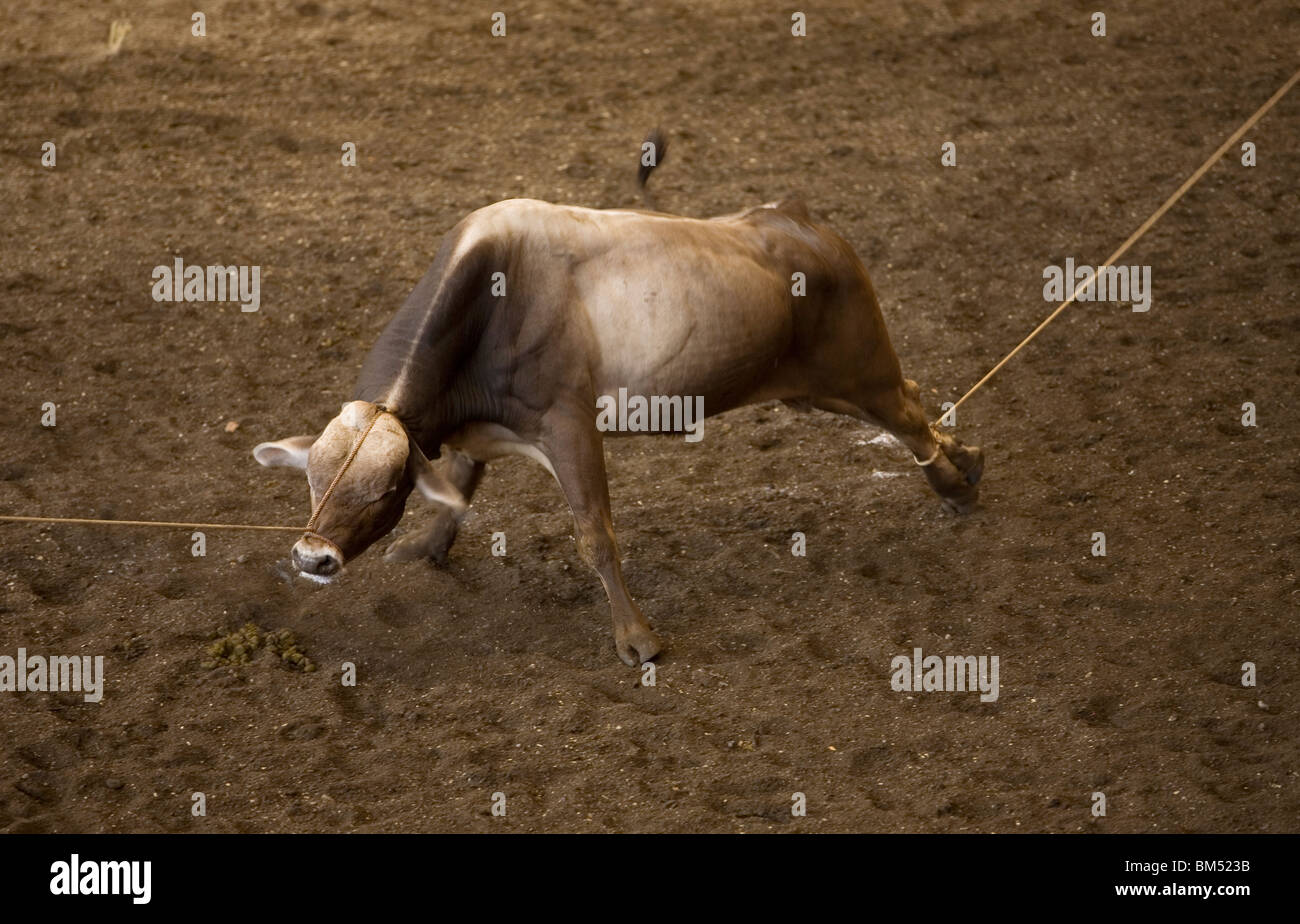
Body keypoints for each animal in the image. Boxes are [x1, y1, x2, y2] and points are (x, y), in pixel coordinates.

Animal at [253, 133, 984, 666]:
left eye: (381, 491)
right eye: (313, 480)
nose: (311, 559)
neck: (493, 299)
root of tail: (796, 219)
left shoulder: (570, 427)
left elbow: (595, 536)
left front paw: (636, 639)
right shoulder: (485, 430)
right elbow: (458, 489)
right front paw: (428, 549)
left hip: (856, 368)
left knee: (905, 415)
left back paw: (955, 483)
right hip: (821, 389)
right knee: (914, 400)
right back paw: (967, 460)